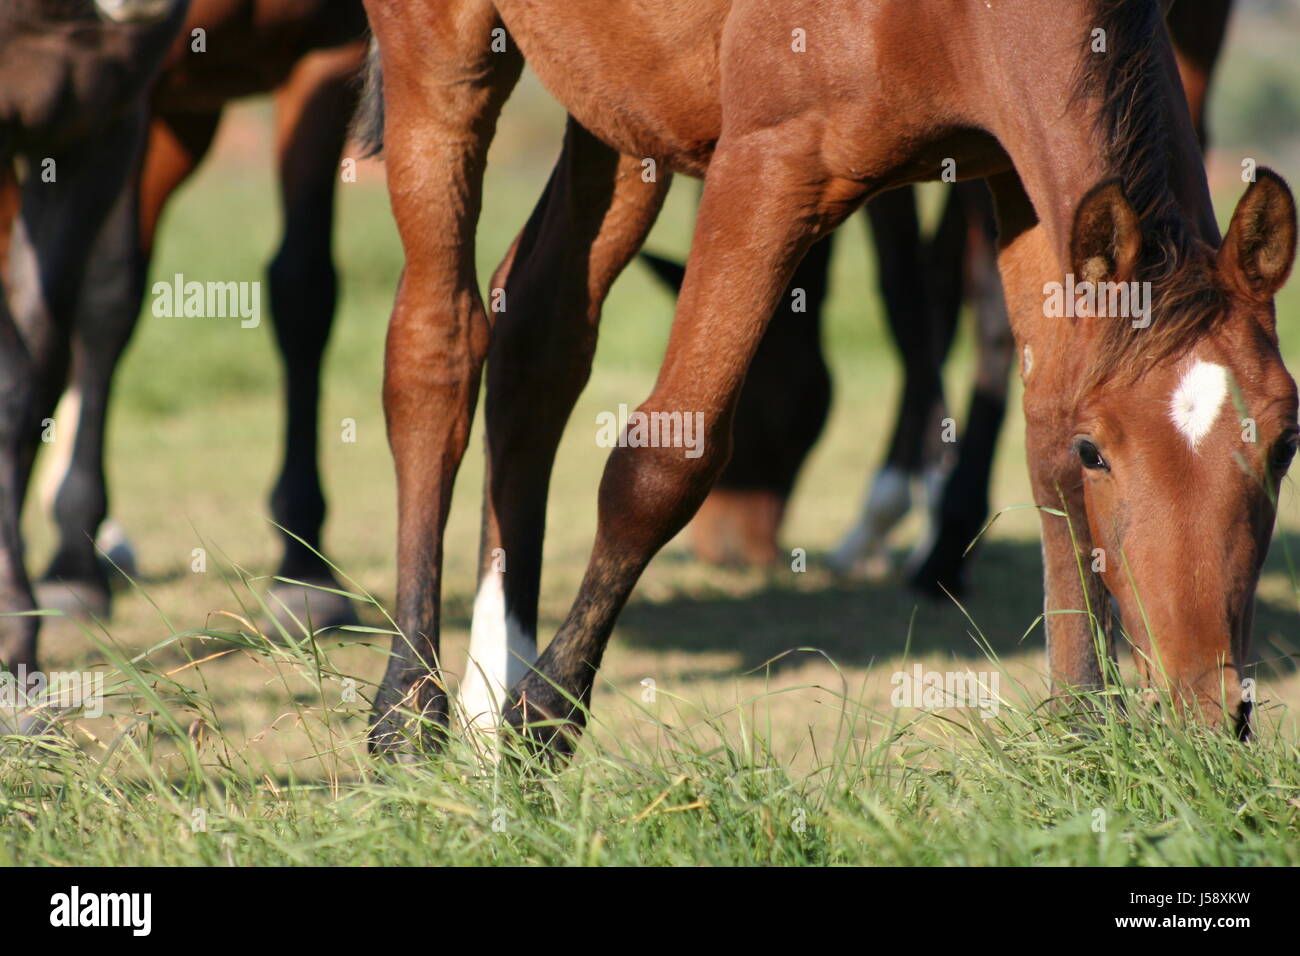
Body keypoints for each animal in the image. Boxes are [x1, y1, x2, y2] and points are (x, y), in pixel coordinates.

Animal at [361, 0, 1294, 754]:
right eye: (1104, 453)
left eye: (1286, 447)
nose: (1208, 712)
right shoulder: (770, 163)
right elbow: (666, 460)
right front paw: (545, 723)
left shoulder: (1015, 175)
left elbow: (1044, 439)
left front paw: (1082, 729)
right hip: (443, 50)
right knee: (436, 350)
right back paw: (408, 710)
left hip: (619, 111)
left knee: (540, 337)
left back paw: (489, 686)